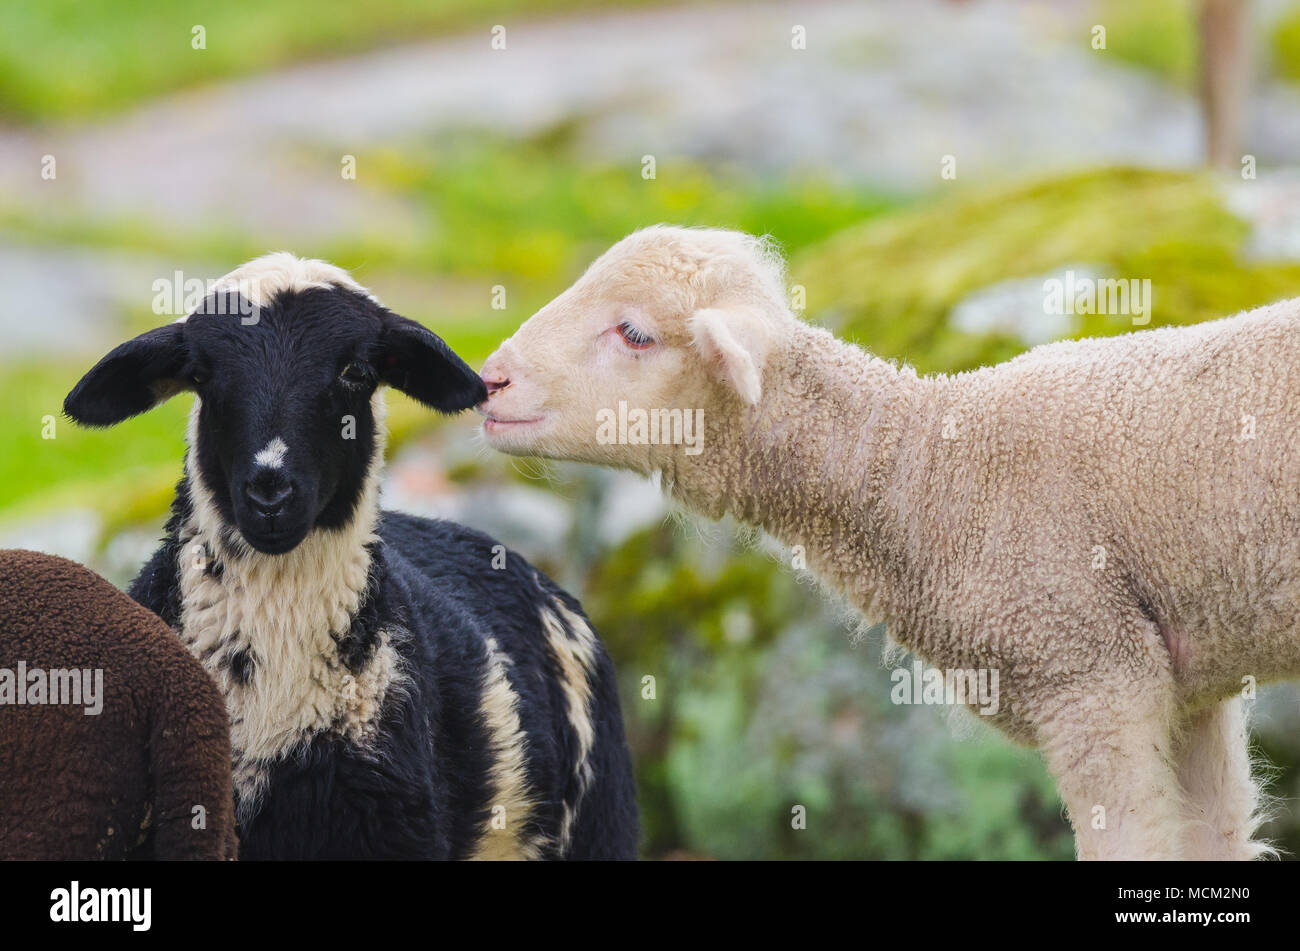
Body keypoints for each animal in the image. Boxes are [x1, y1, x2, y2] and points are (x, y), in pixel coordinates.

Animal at [478, 224, 1300, 861]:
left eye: (635, 333)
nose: (492, 381)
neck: (933, 477)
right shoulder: (1188, 683)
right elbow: (1214, 837)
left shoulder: (1089, 668)